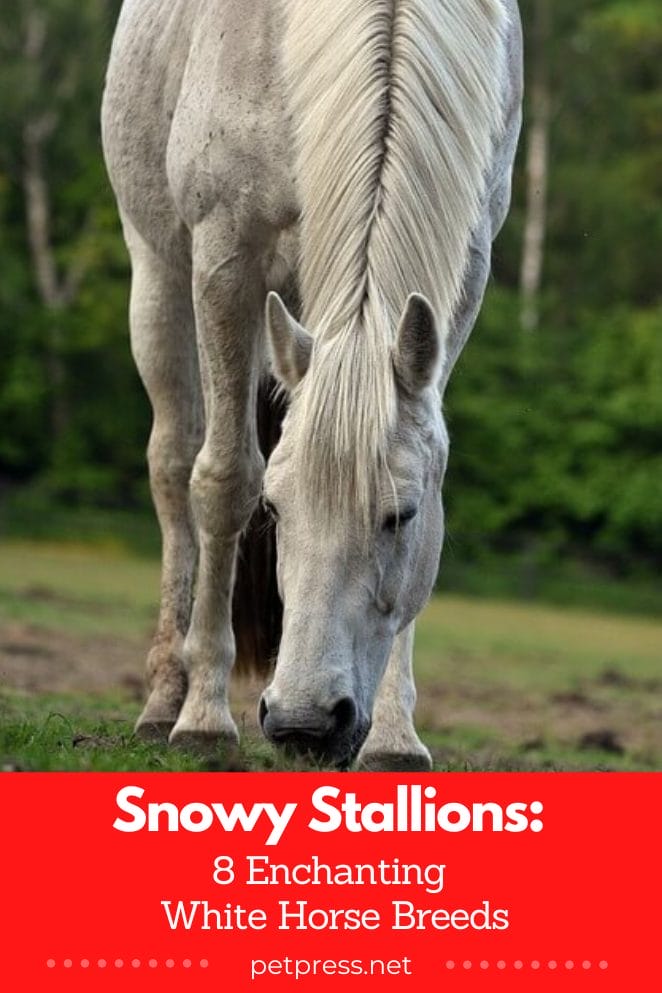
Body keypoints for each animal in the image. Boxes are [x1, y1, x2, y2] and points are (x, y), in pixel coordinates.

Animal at [102, 0, 522, 770]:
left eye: (401, 515)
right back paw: (165, 698)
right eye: (277, 507)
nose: (306, 722)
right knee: (174, 468)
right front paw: (205, 719)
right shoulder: (225, 254)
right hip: (157, 274)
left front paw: (394, 737)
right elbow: (223, 479)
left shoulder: (466, 271)